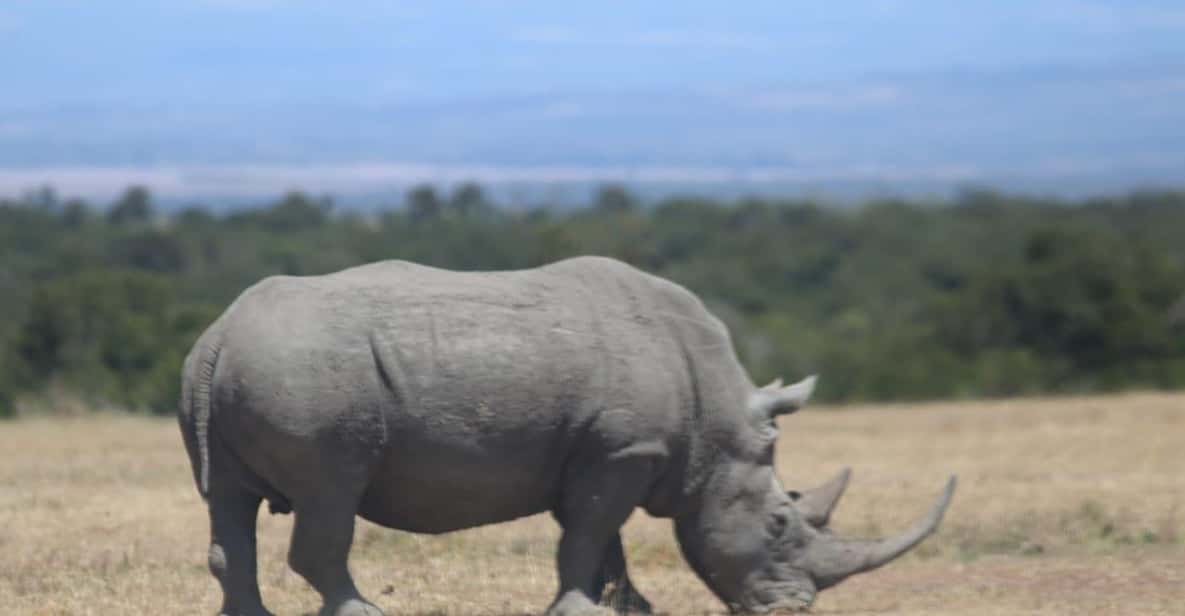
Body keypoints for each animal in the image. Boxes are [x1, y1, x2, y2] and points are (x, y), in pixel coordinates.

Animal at [179, 256, 955, 616]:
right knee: (331, 493)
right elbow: (587, 533)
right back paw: (364, 612)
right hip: (311, 382)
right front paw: (584, 609)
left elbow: (601, 537)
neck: (715, 417)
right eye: (779, 523)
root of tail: (218, 337)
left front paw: (628, 609)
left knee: (229, 503)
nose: (794, 609)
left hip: (242, 375)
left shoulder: (607, 453)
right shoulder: (622, 451)